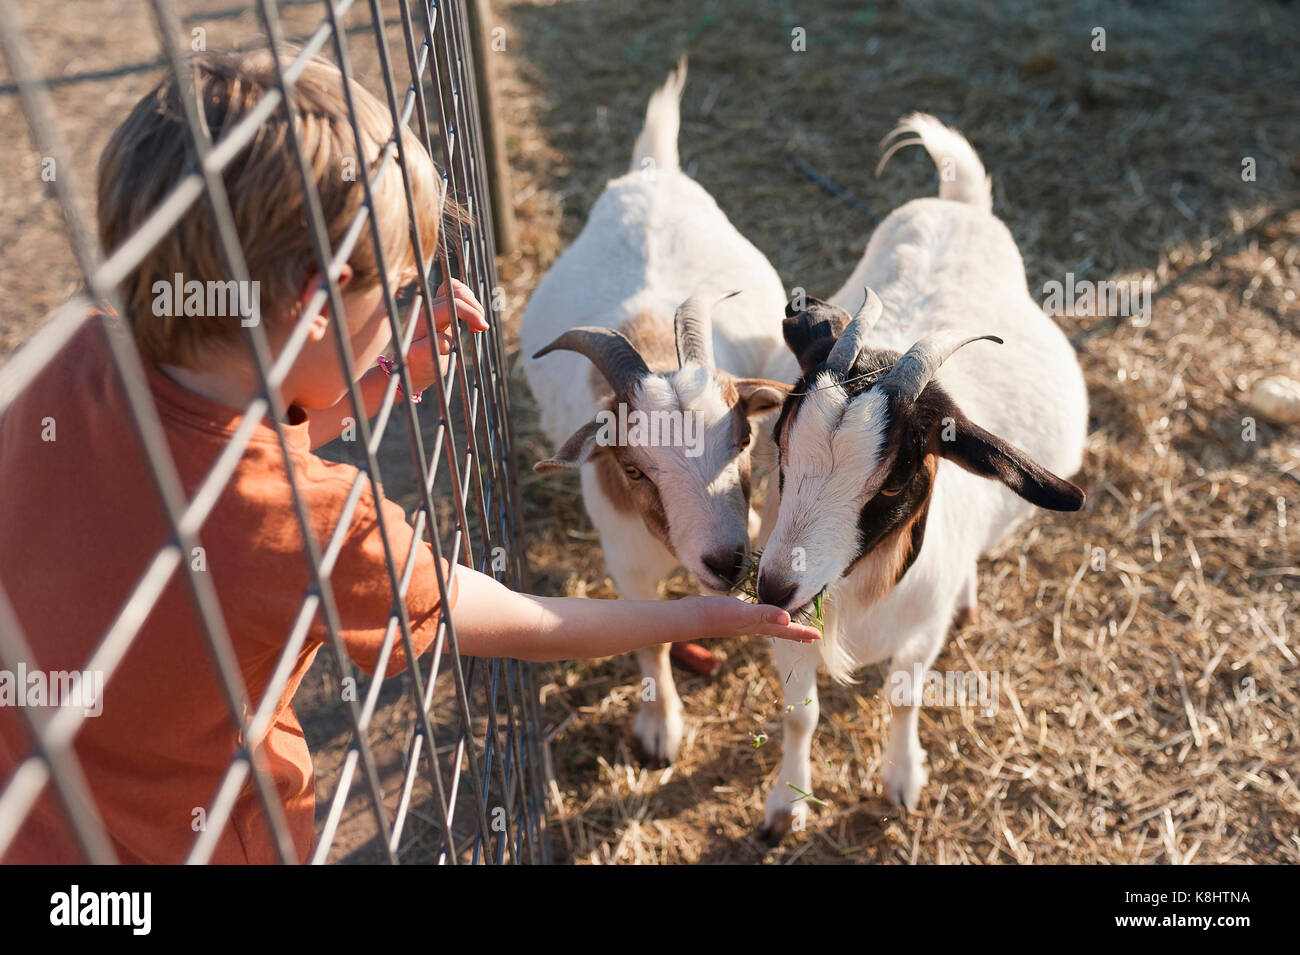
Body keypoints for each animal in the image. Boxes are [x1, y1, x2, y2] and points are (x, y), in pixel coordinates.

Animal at [520, 59, 789, 761]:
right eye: (635, 469)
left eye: (742, 441)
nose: (727, 562)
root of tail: (653, 172)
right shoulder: (627, 564)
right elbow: (651, 638)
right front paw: (661, 729)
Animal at [754, 114, 1088, 840]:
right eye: (781, 446)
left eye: (887, 482)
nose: (772, 586)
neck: (862, 589)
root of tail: (959, 203)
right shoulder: (792, 632)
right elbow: (800, 717)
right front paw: (786, 804)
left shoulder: (919, 632)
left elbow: (905, 699)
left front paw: (902, 779)